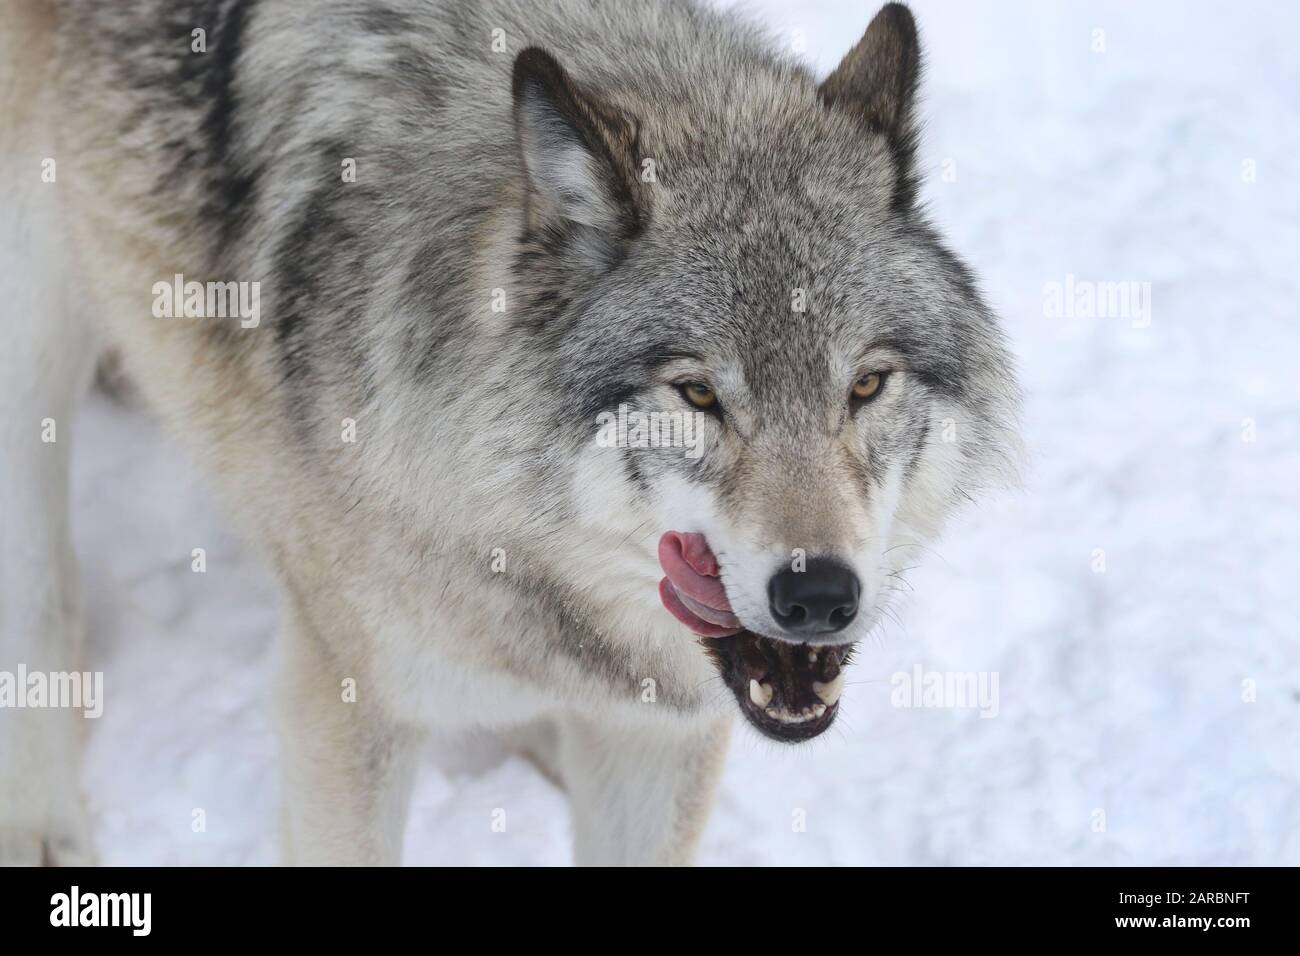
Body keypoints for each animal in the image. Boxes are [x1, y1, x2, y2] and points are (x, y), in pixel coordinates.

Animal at [0, 0, 1020, 865]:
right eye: (697, 393)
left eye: (866, 384)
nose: (818, 596)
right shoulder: (348, 713)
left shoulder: (660, 734)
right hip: (33, 308)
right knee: (41, 583)